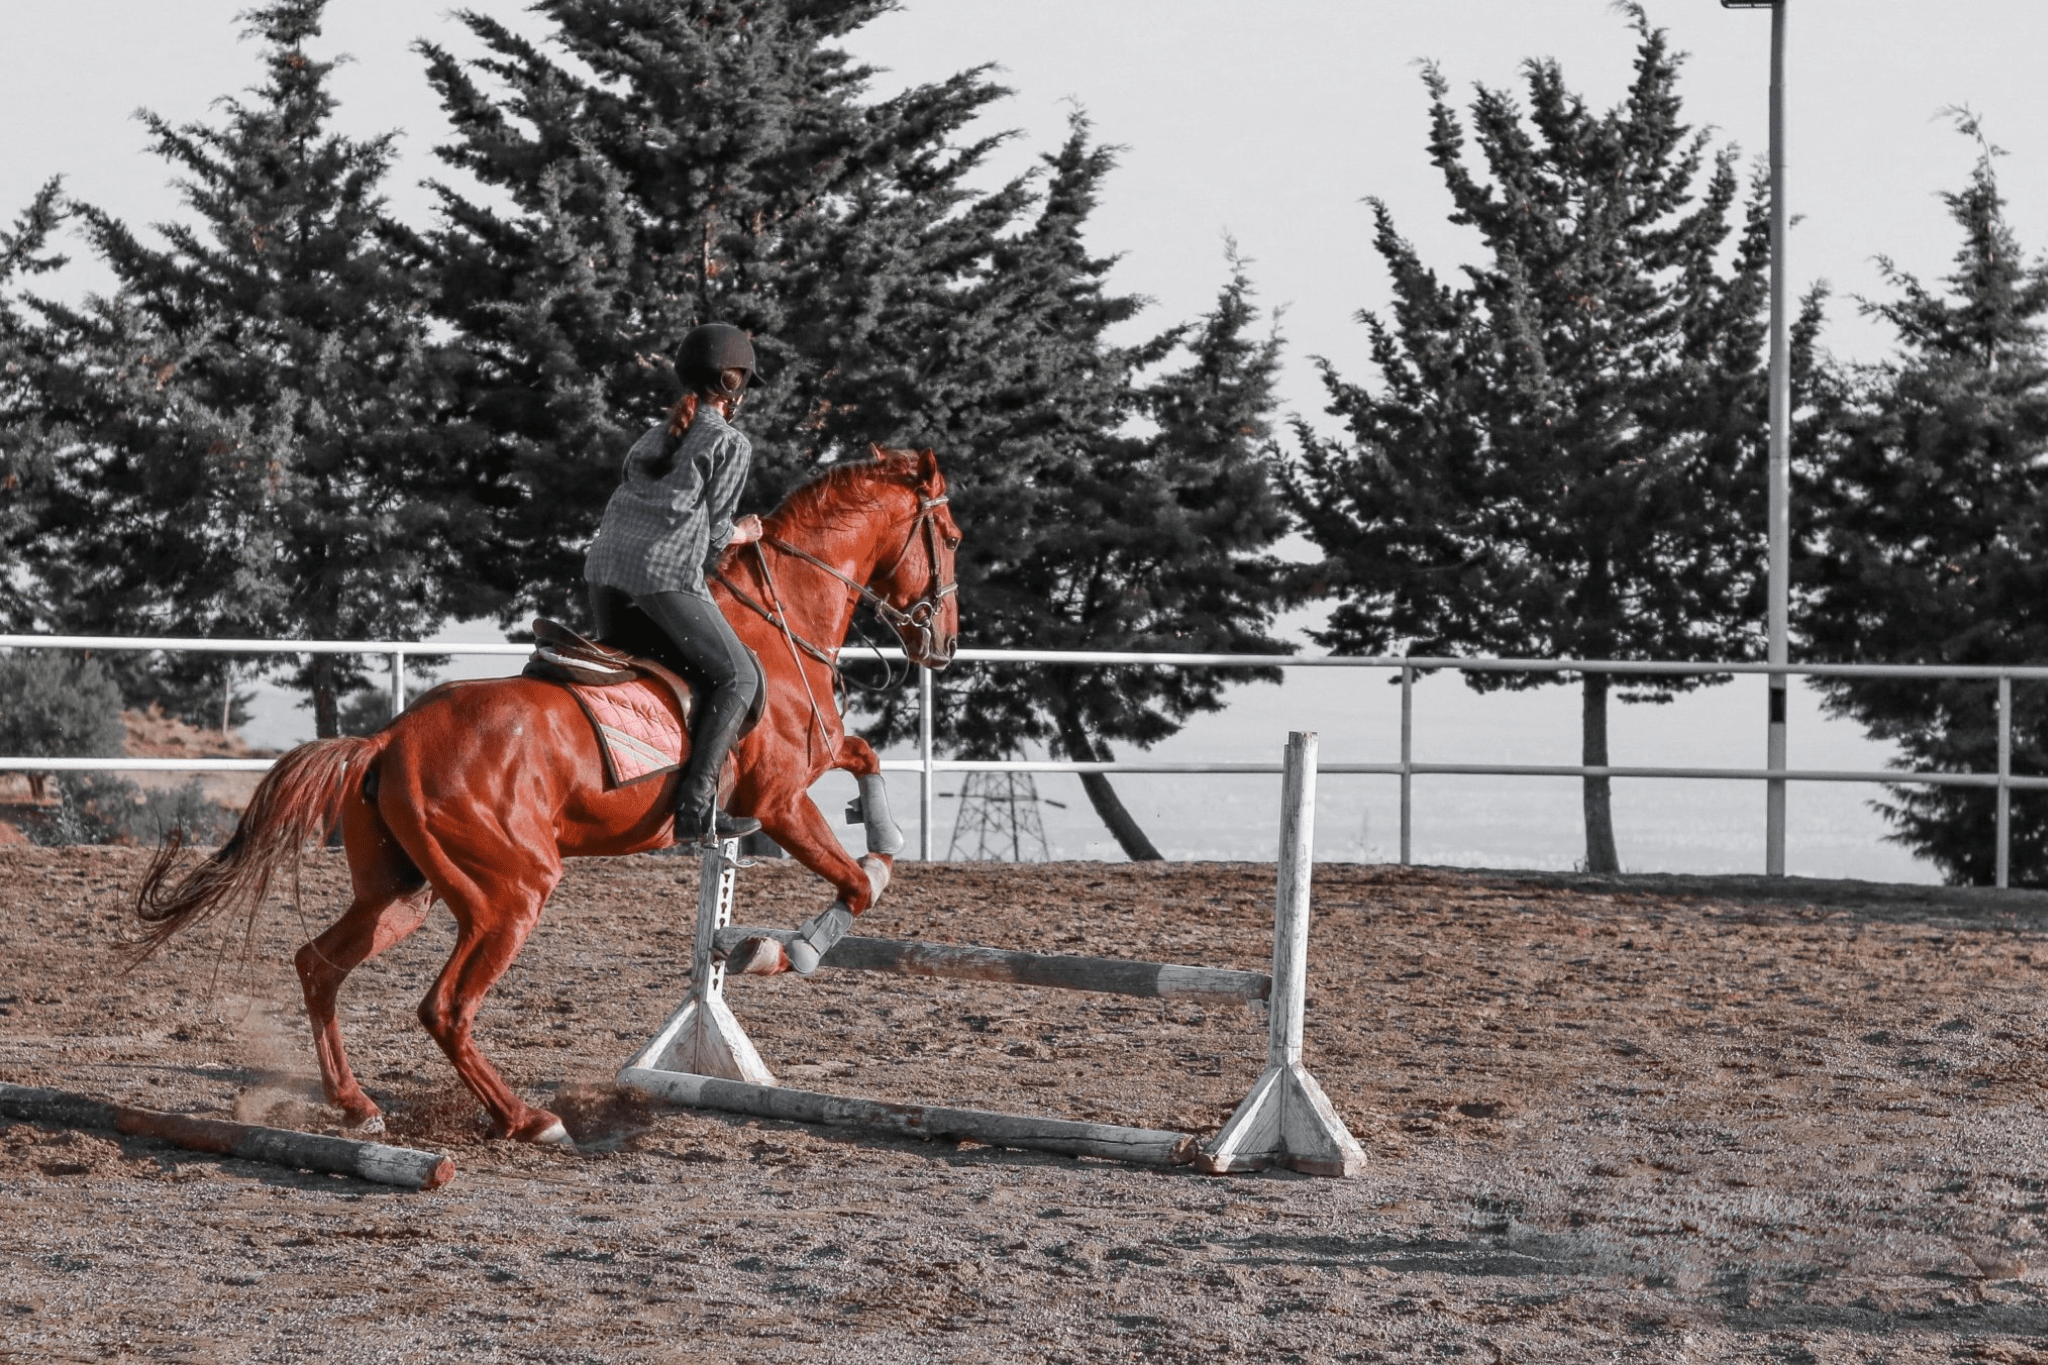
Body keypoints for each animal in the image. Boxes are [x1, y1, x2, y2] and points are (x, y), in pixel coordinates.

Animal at [132, 445, 961, 1146]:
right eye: (950, 535)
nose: (944, 643)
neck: (777, 617)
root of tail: (388, 740)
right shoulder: (782, 800)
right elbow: (855, 885)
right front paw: (785, 948)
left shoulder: (812, 767)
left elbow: (867, 766)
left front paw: (881, 843)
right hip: (512, 892)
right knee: (445, 1006)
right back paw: (527, 1118)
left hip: (402, 894)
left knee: (319, 965)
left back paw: (359, 1104)